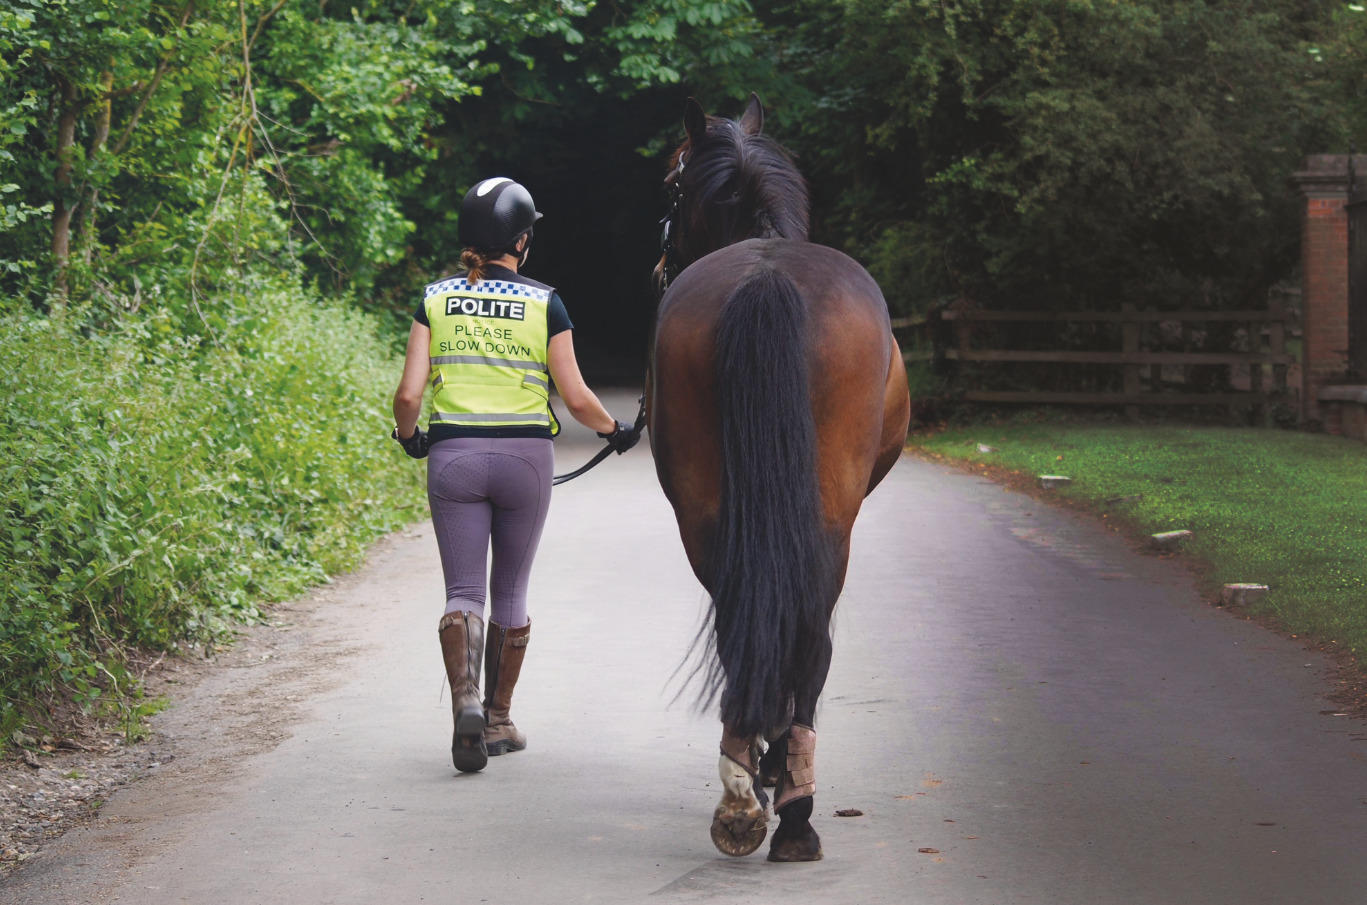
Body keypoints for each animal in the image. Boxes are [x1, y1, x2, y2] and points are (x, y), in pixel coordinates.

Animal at [646, 93, 911, 862]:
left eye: (670, 183)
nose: (661, 261)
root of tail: (766, 279)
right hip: (824, 517)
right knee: (804, 632)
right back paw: (782, 801)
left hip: (712, 512)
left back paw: (757, 792)